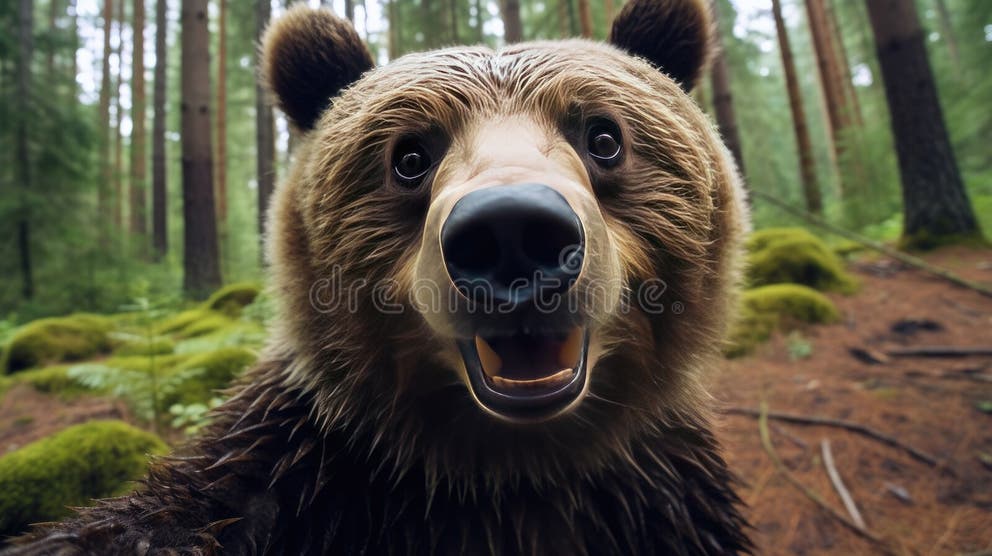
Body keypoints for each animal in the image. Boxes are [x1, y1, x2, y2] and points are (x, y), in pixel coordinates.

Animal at [4, 0, 751, 553]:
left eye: (603, 137)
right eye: (410, 156)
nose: (512, 233)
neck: (514, 473)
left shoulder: (664, 502)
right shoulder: (300, 473)